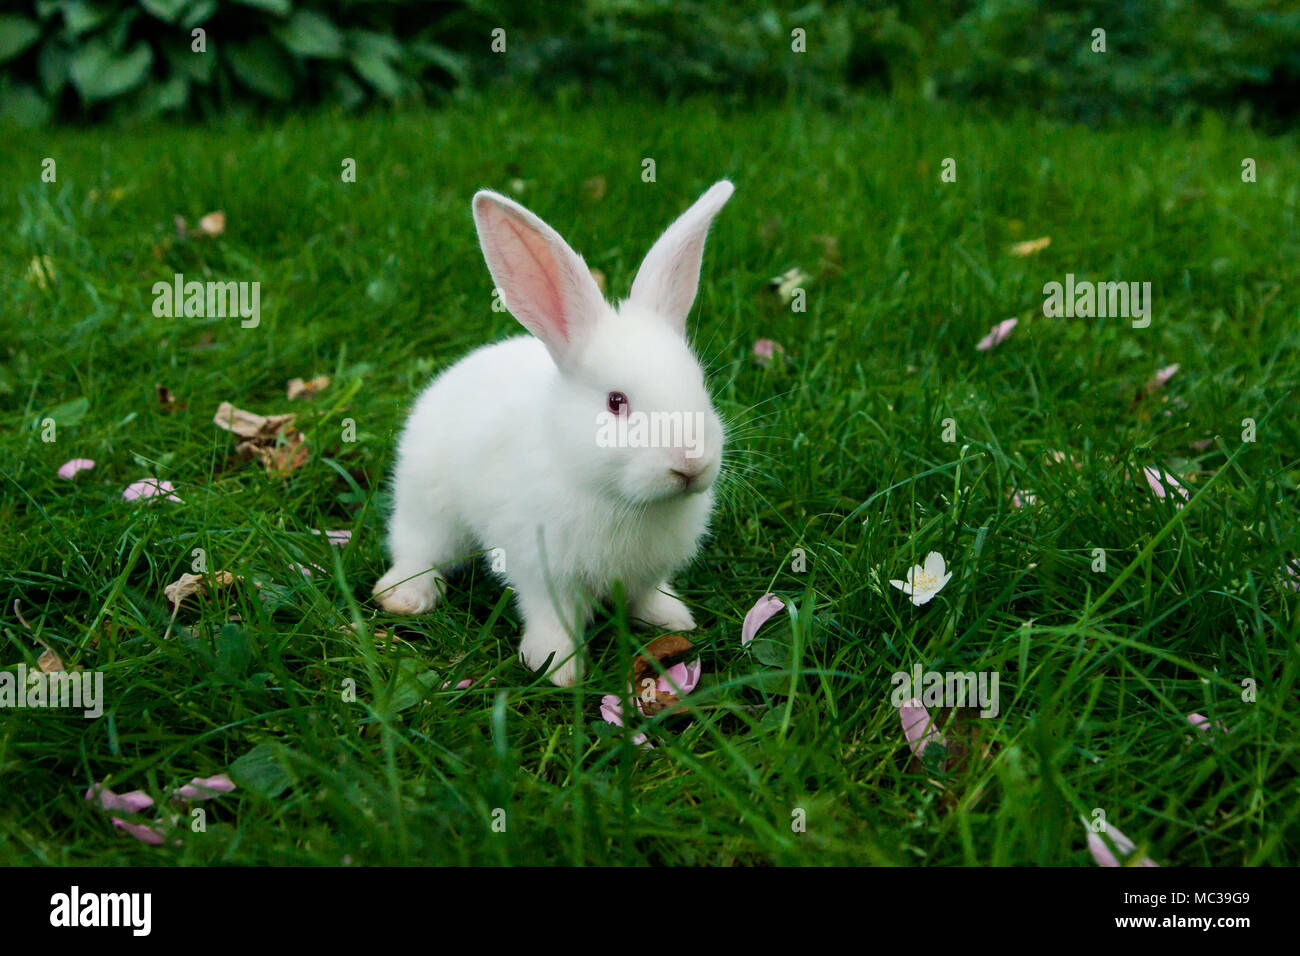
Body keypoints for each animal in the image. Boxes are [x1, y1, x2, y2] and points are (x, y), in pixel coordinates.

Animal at [373, 180, 735, 685]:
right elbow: (551, 617)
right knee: (416, 549)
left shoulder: (646, 572)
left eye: (700, 386)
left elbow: (645, 595)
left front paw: (672, 618)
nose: (691, 463)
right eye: (616, 401)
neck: (616, 496)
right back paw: (404, 597)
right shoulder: (542, 569)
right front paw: (558, 668)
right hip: (429, 508)